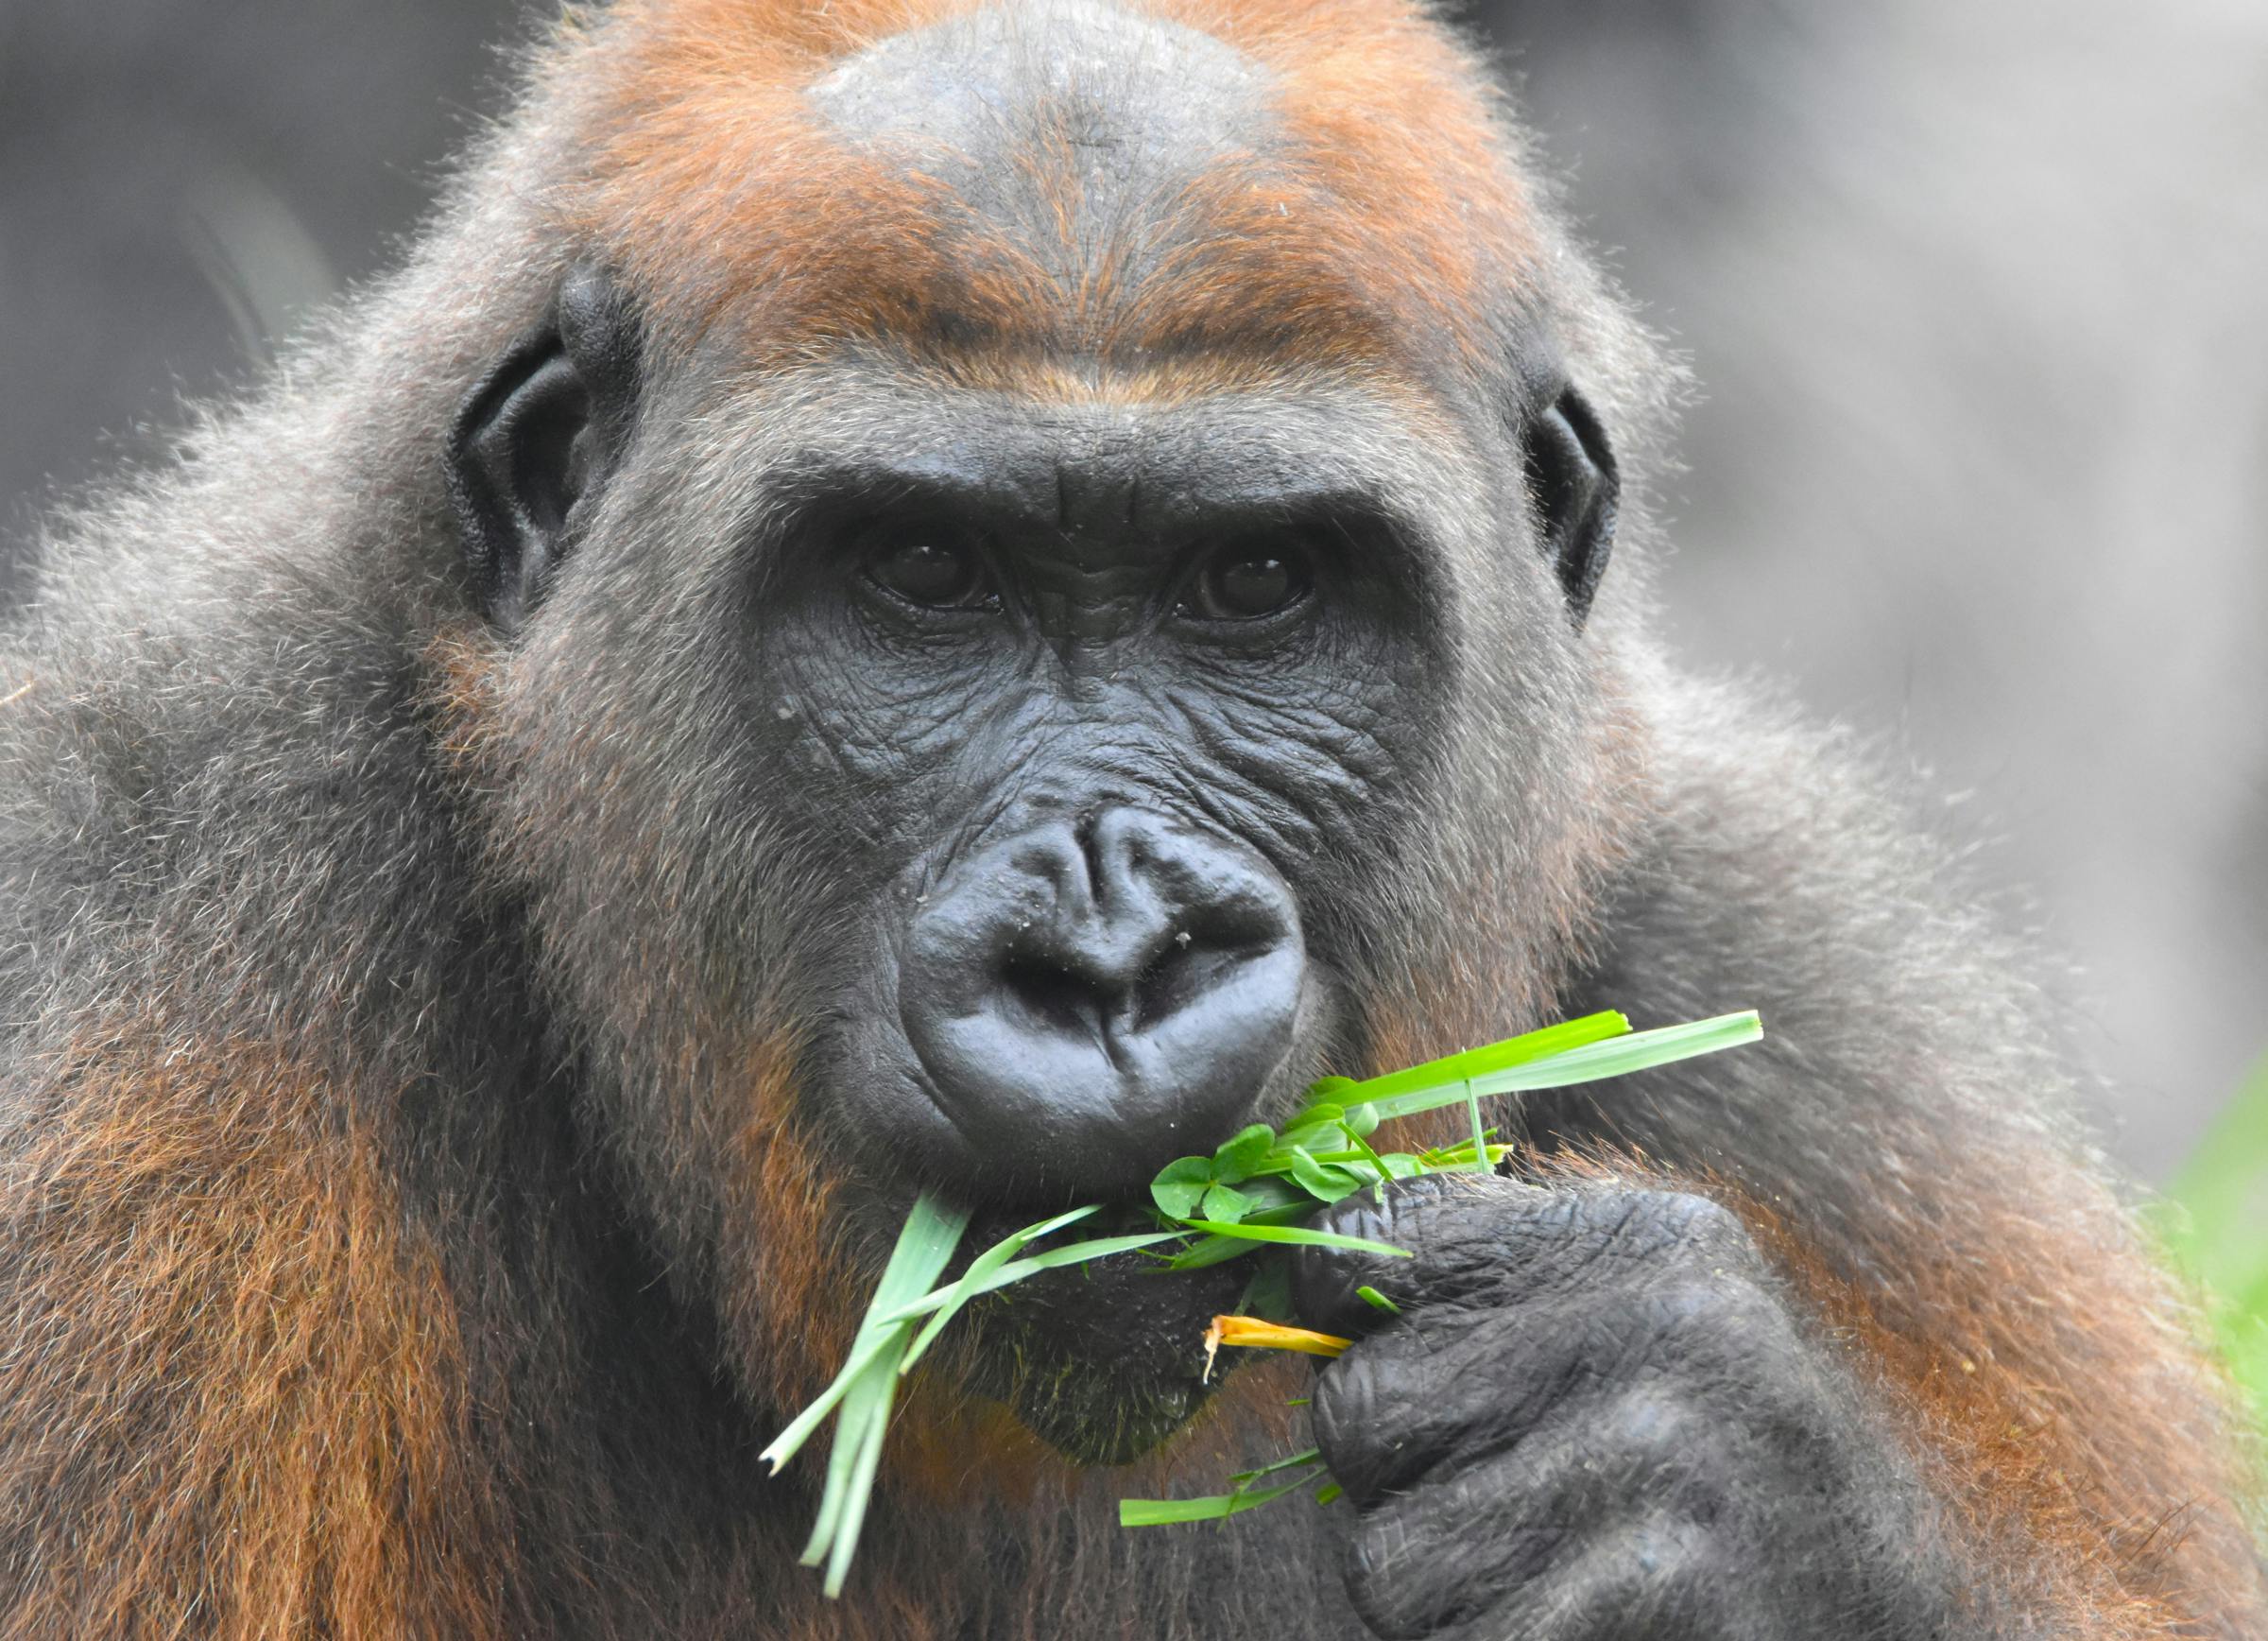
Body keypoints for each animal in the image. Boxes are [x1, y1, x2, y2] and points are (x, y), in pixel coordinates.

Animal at [0, 0, 2260, 1635]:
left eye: (1254, 587)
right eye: (922, 577)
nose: (1109, 955)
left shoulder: (1793, 997)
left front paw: (1732, 1489)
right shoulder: (152, 938)